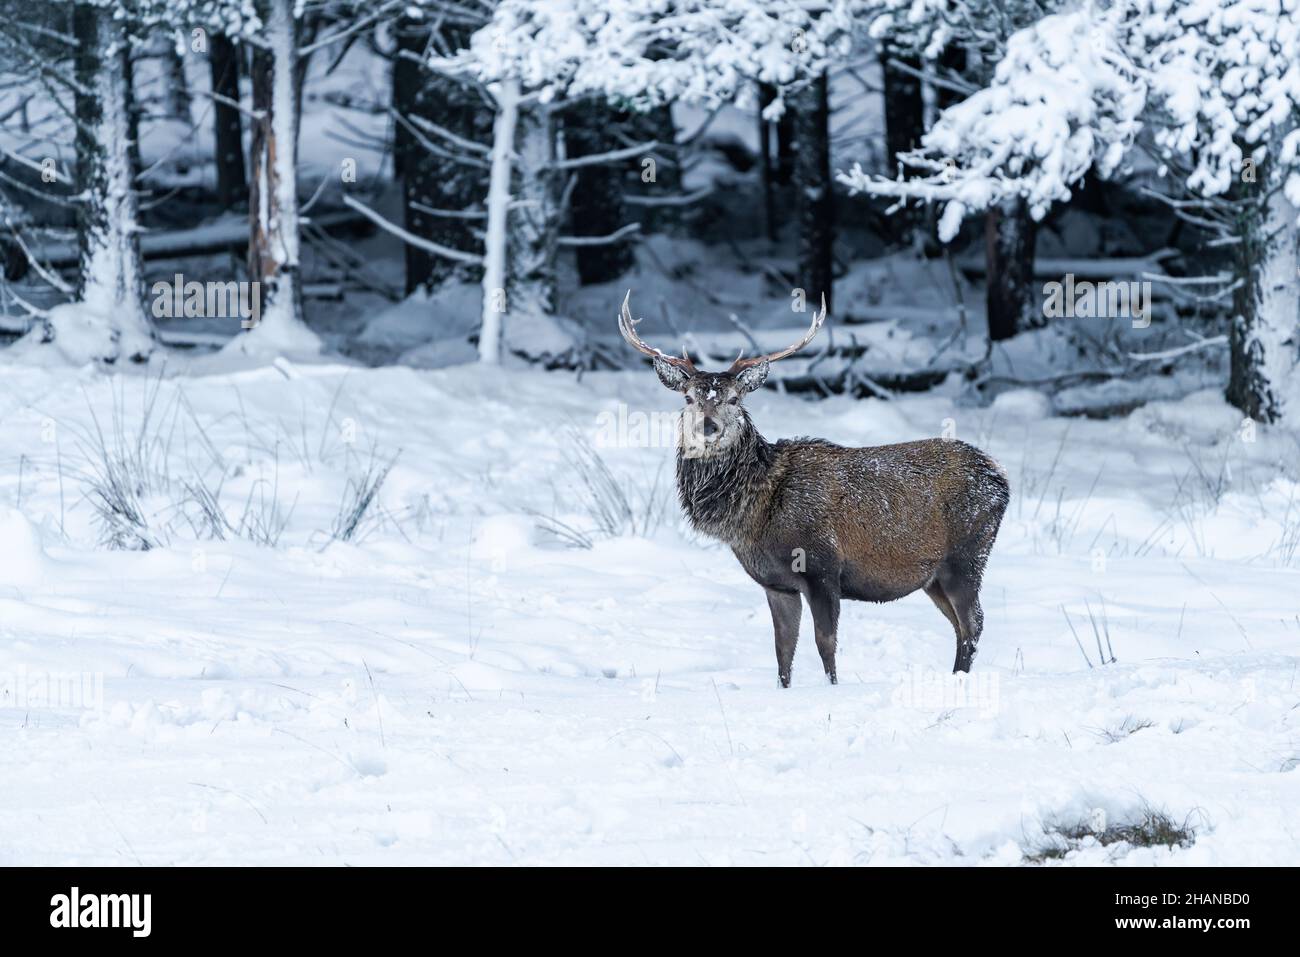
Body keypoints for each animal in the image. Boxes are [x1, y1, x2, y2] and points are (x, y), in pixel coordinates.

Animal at [618, 291, 1009, 687]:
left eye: (733, 399)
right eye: (688, 398)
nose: (708, 427)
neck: (756, 513)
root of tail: (1000, 478)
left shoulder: (822, 567)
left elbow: (825, 644)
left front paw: (831, 688)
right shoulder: (776, 584)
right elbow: (783, 651)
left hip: (967, 555)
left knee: (973, 623)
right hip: (934, 576)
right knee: (959, 626)